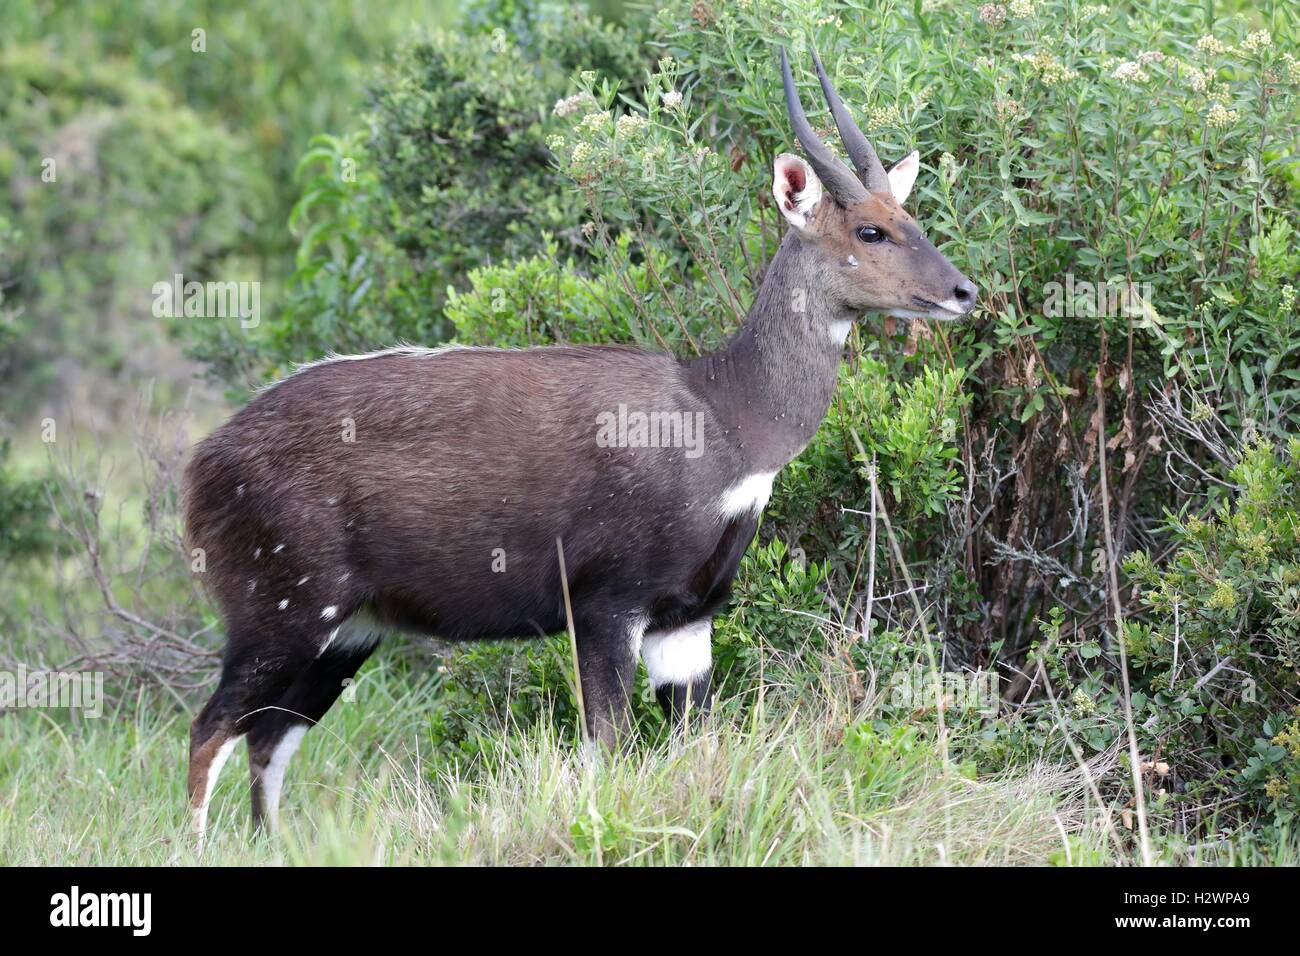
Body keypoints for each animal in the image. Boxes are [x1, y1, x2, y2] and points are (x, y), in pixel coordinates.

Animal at [183, 47, 977, 840]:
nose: (963, 292)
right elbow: (608, 747)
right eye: (869, 231)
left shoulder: (687, 616)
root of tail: (200, 467)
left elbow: (693, 743)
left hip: (346, 630)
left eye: (909, 216)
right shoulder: (605, 601)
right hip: (280, 607)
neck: (726, 417)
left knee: (267, 735)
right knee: (209, 729)